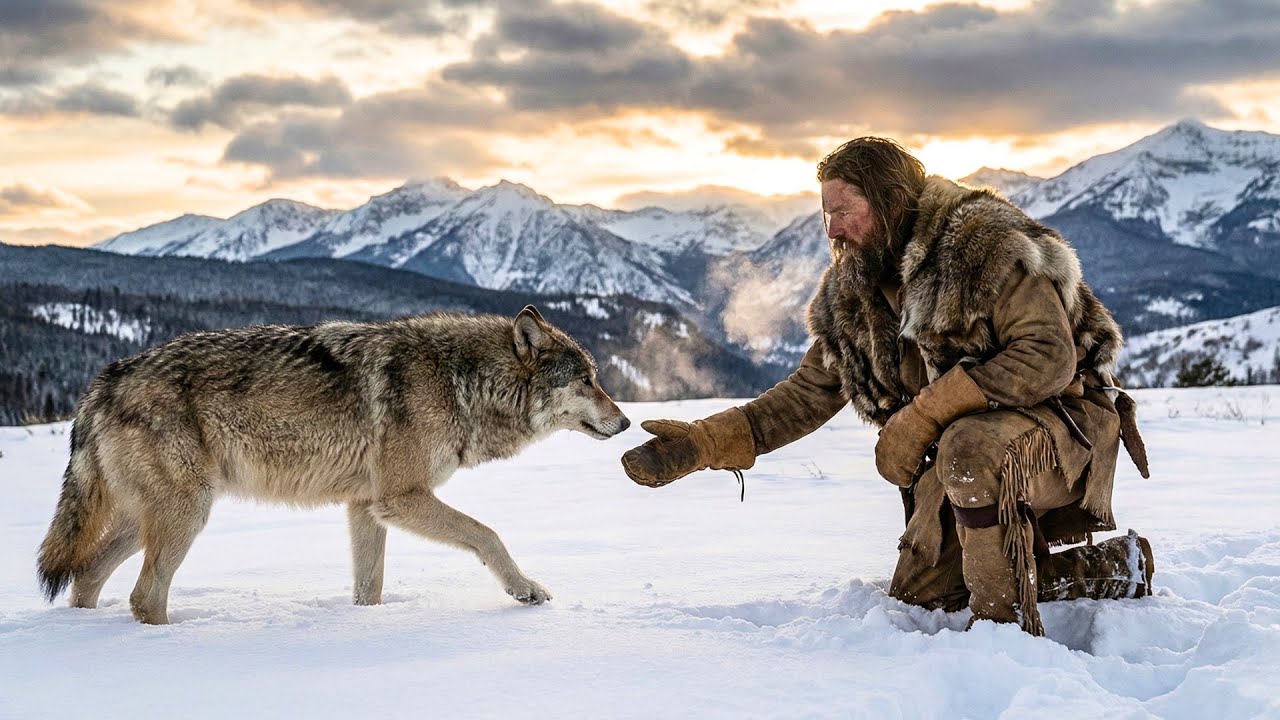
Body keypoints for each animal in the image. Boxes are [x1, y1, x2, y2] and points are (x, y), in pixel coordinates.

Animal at [37, 305, 630, 624]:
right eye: (586, 380)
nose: (625, 423)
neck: (461, 381)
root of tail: (104, 380)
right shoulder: (400, 498)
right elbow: (488, 534)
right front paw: (525, 589)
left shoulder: (365, 505)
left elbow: (369, 587)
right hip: (186, 515)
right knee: (142, 595)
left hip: (148, 519)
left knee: (87, 575)